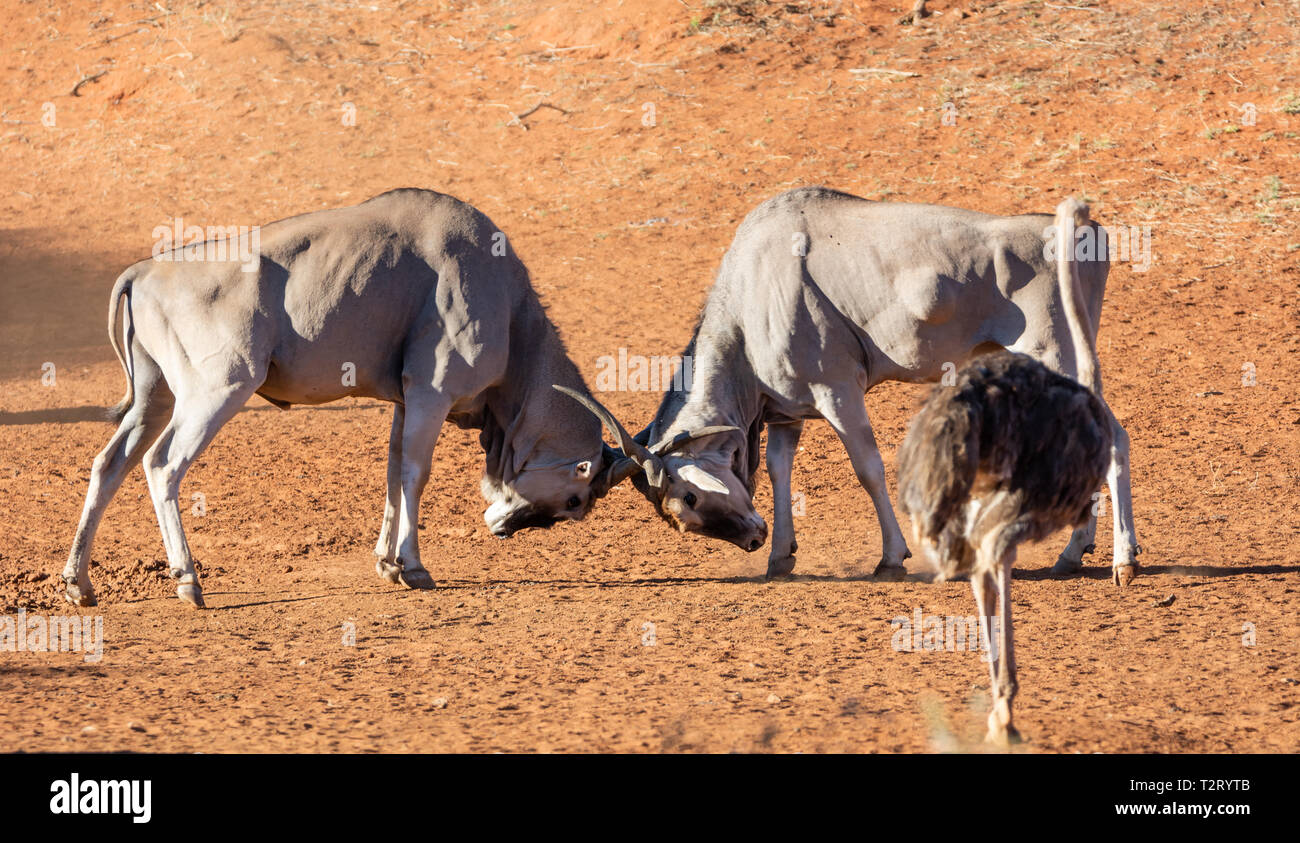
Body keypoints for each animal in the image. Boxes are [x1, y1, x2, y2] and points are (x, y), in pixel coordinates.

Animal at [62, 188, 664, 608]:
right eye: (576, 500)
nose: (501, 527)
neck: (509, 301)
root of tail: (144, 272)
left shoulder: (405, 402)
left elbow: (394, 471)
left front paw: (387, 563)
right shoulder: (431, 395)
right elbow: (415, 474)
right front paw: (415, 568)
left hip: (155, 399)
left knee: (109, 463)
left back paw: (79, 584)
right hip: (218, 393)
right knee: (163, 465)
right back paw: (188, 582)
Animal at [562, 186, 1140, 586]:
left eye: (689, 498)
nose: (752, 538)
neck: (754, 288)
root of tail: (1081, 233)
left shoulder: (837, 392)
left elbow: (868, 468)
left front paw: (892, 558)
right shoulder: (787, 415)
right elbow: (780, 472)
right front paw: (781, 557)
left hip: (1055, 357)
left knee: (1111, 436)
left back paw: (1122, 561)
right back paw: (1073, 554)